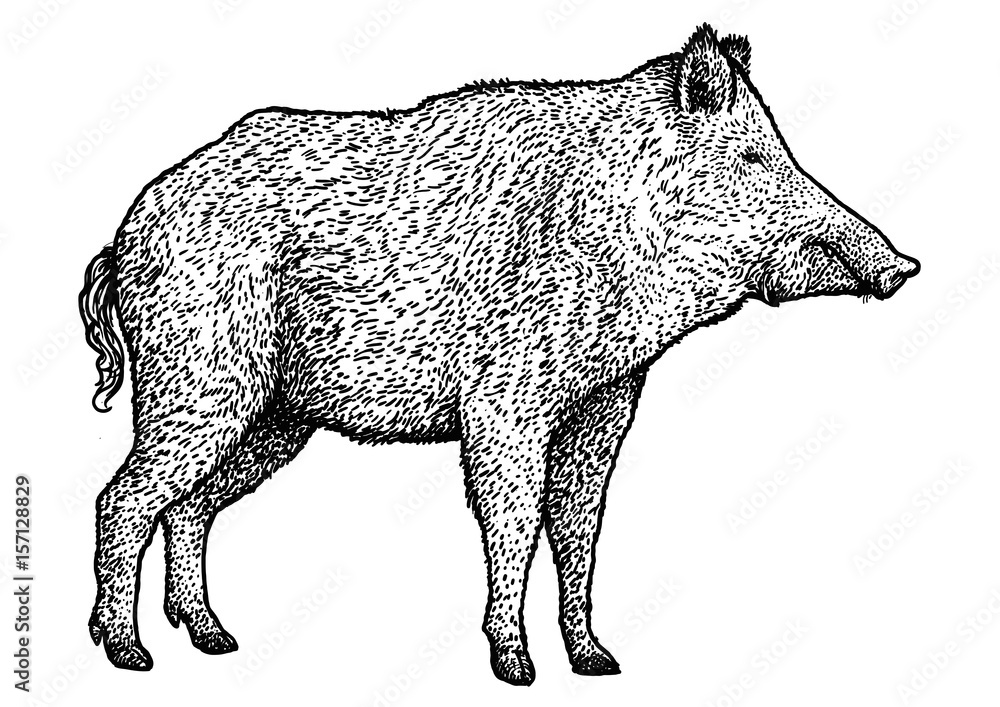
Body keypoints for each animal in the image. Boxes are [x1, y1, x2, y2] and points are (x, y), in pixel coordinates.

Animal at [79, 23, 918, 684]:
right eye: (751, 158)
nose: (903, 266)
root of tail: (124, 239)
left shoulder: (602, 403)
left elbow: (580, 527)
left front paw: (597, 662)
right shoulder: (504, 402)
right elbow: (512, 522)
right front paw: (517, 670)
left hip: (272, 415)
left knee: (188, 506)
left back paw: (216, 641)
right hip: (197, 373)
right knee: (123, 499)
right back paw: (130, 655)